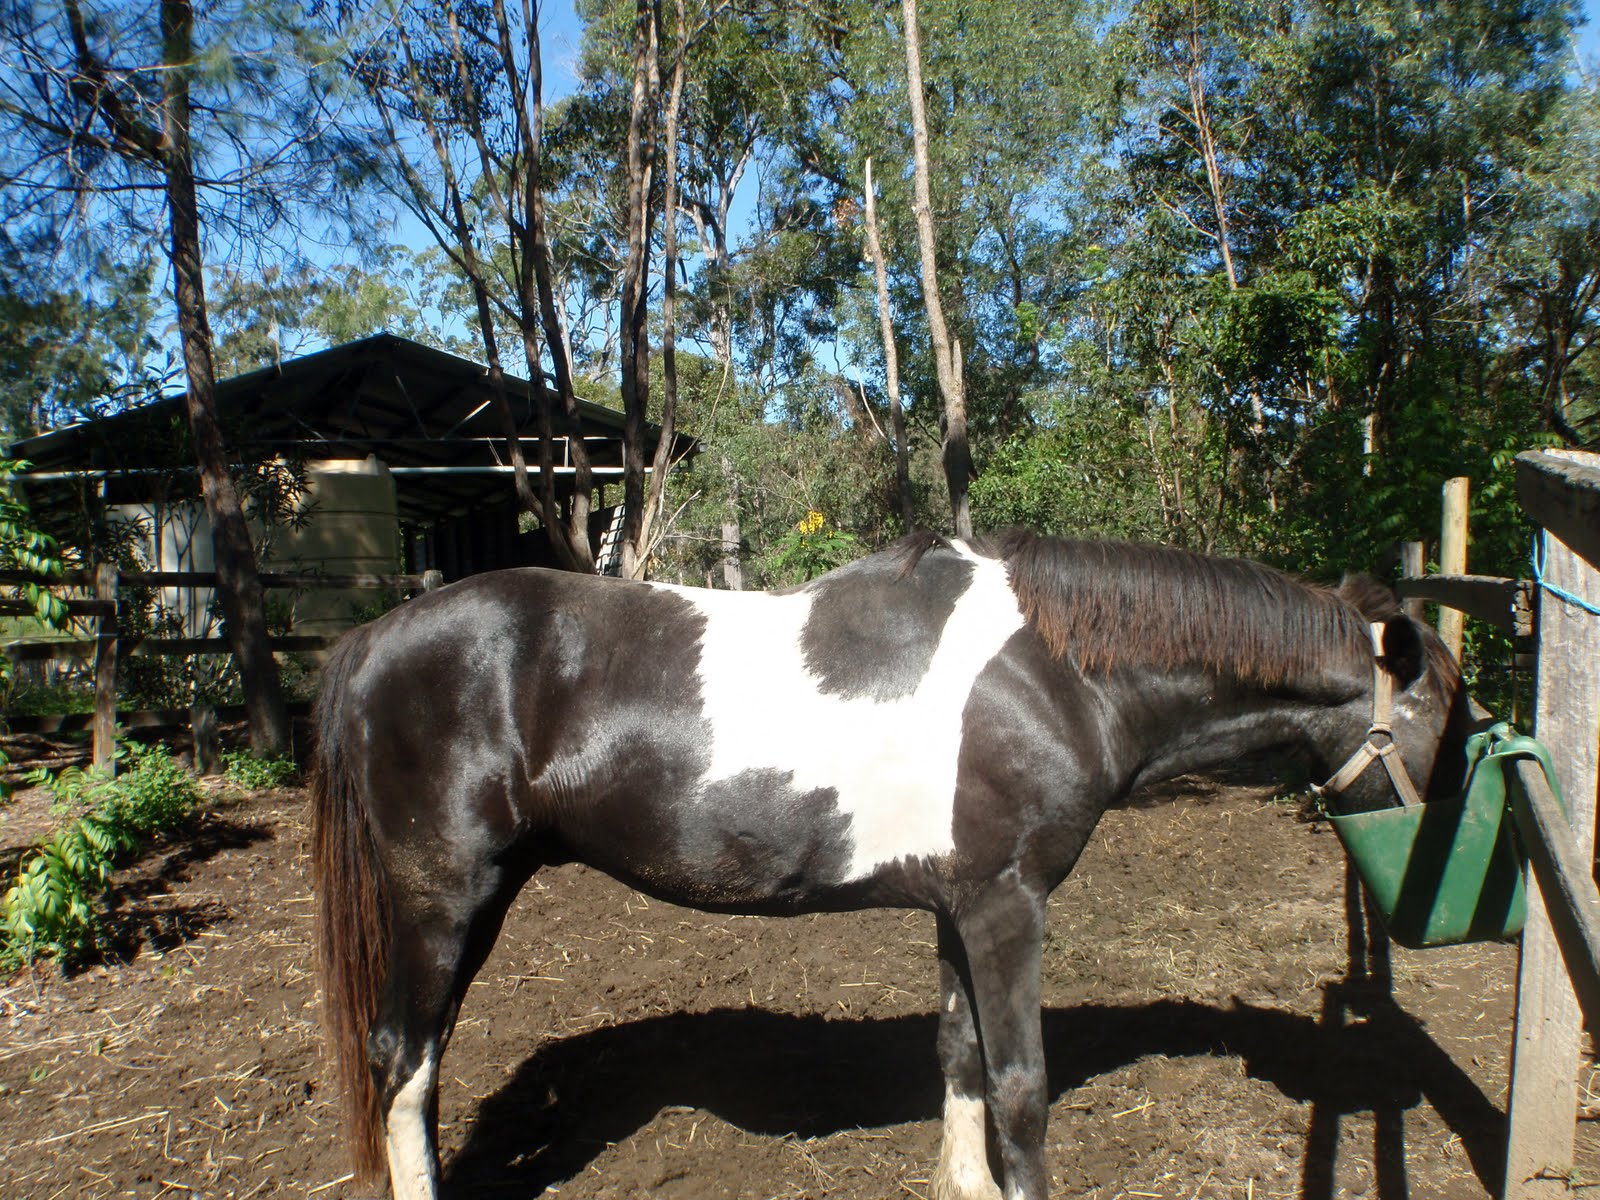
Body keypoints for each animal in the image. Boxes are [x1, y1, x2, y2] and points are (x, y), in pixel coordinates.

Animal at [310, 529, 1470, 1200]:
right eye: (1438, 714)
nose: (1442, 867)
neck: (1052, 672)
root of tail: (374, 638)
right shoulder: (1008, 907)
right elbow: (1020, 1085)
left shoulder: (960, 904)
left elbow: (958, 1057)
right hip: (443, 901)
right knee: (402, 1061)